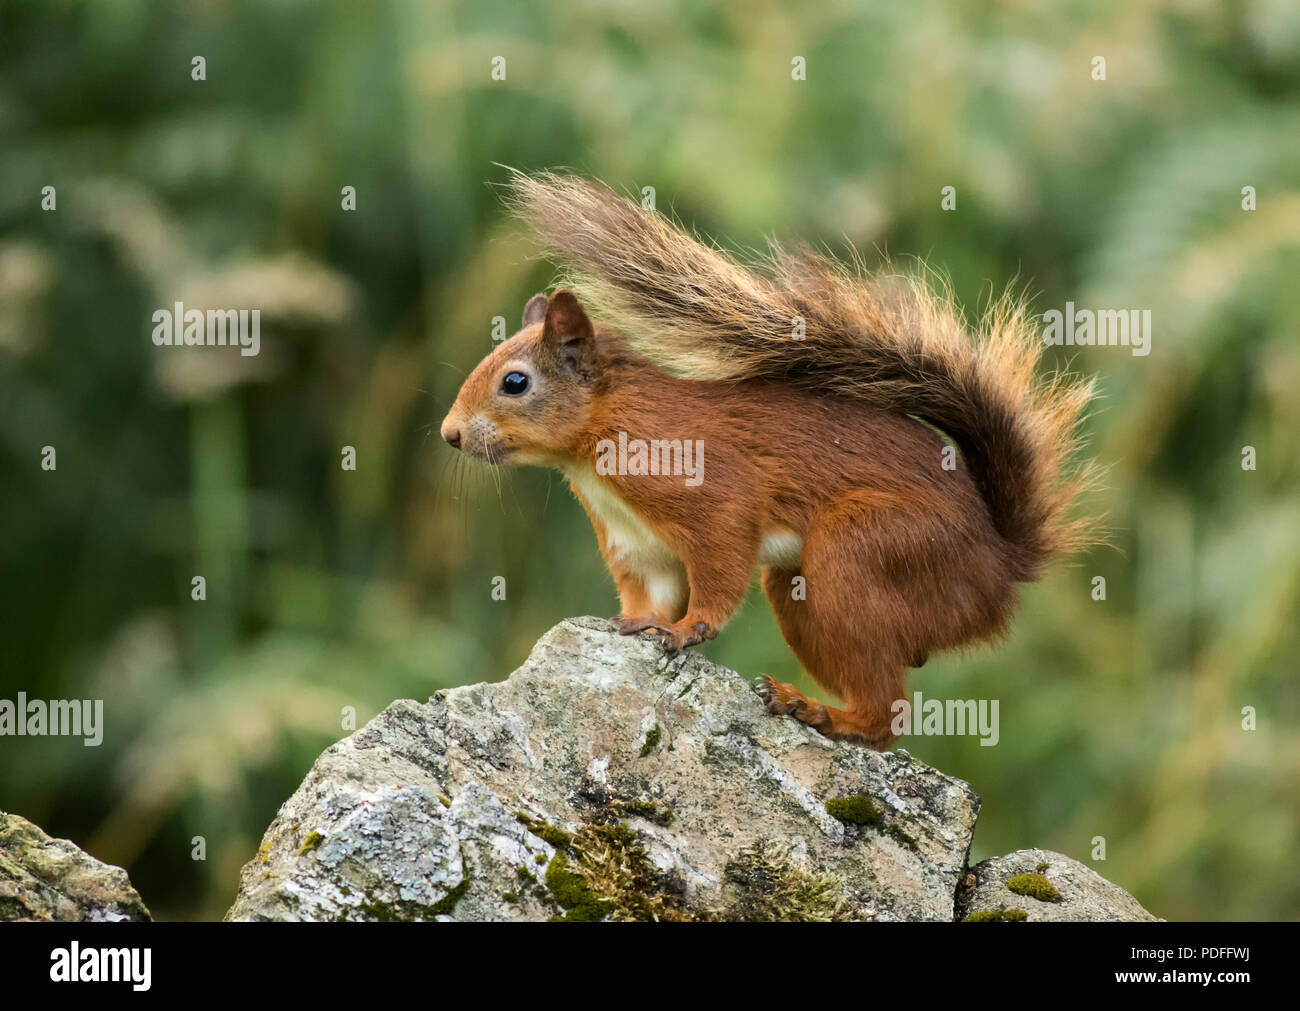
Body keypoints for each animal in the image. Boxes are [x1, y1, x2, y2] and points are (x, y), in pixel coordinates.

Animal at [441, 171, 1096, 749]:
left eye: (515, 382)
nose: (449, 434)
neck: (599, 446)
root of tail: (999, 564)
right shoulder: (635, 543)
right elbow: (648, 593)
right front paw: (633, 623)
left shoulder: (712, 496)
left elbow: (719, 570)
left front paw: (686, 630)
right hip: (802, 590)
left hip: (864, 552)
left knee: (887, 714)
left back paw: (816, 710)